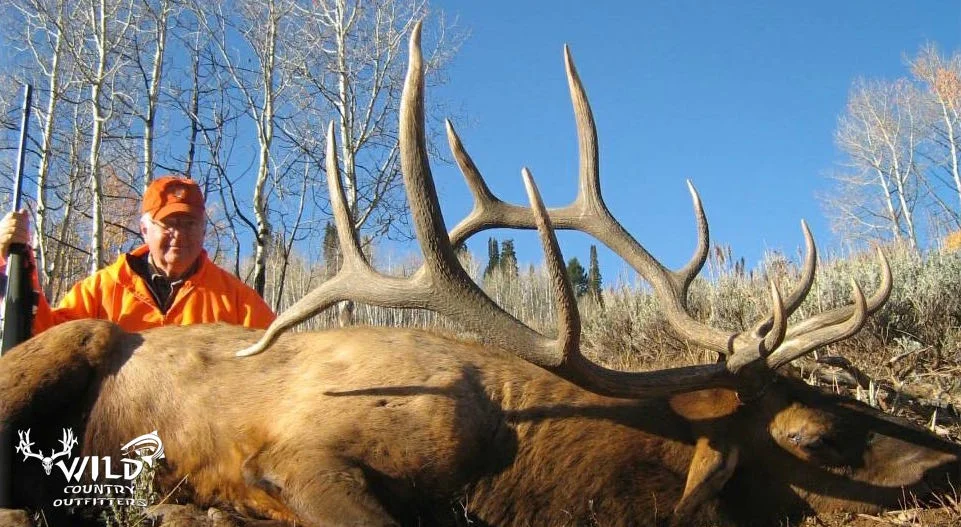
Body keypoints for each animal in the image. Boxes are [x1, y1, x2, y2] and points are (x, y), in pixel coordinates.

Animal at [2, 23, 960, 527]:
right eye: (815, 435)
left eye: (835, 395)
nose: (948, 461)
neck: (511, 461)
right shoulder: (299, 451)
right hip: (66, 341)